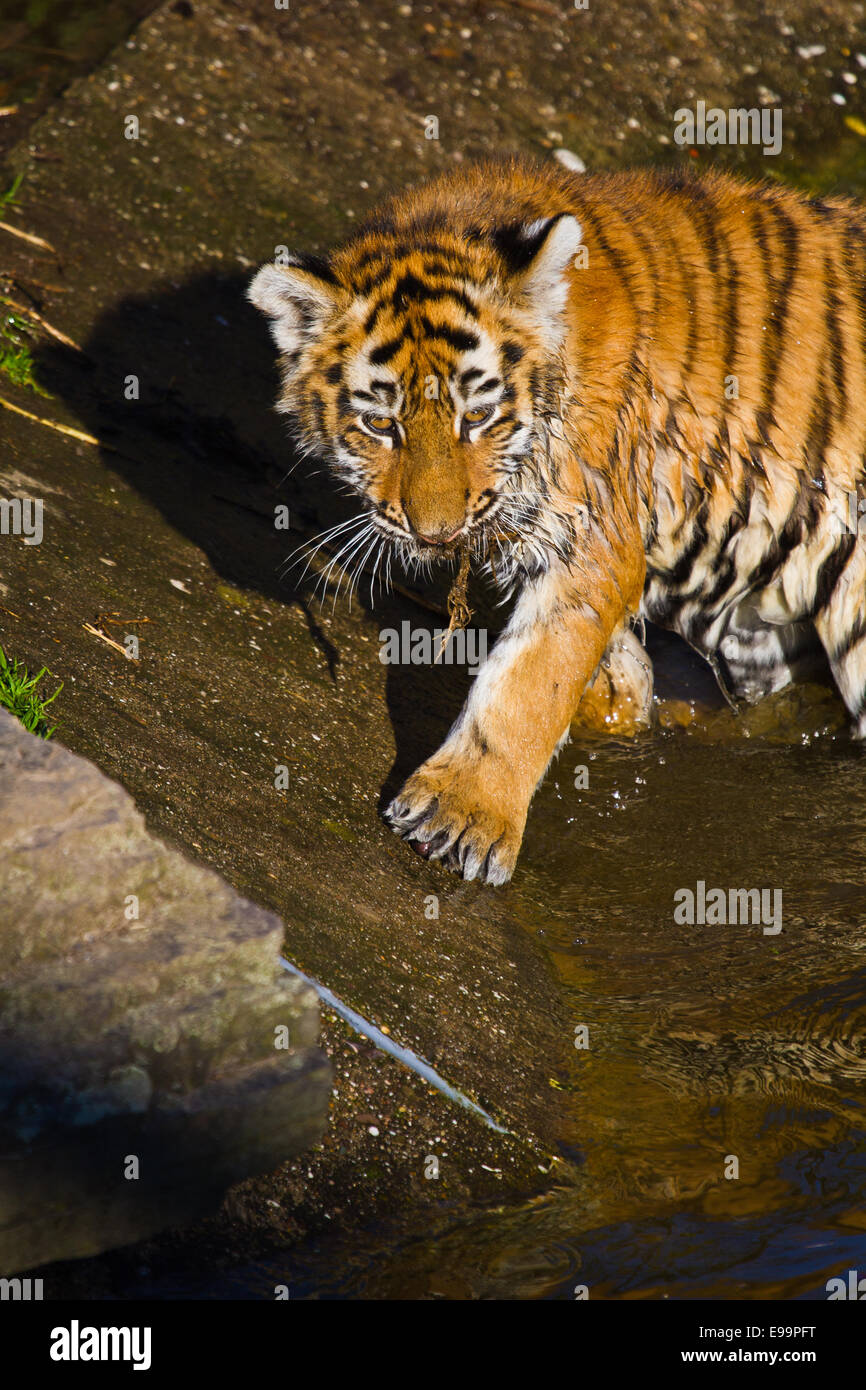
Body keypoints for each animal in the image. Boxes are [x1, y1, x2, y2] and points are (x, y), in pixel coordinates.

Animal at [249, 156, 866, 885]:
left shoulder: (591, 539)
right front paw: (624, 696)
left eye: (477, 415)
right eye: (380, 424)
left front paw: (464, 816)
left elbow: (530, 682)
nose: (435, 534)